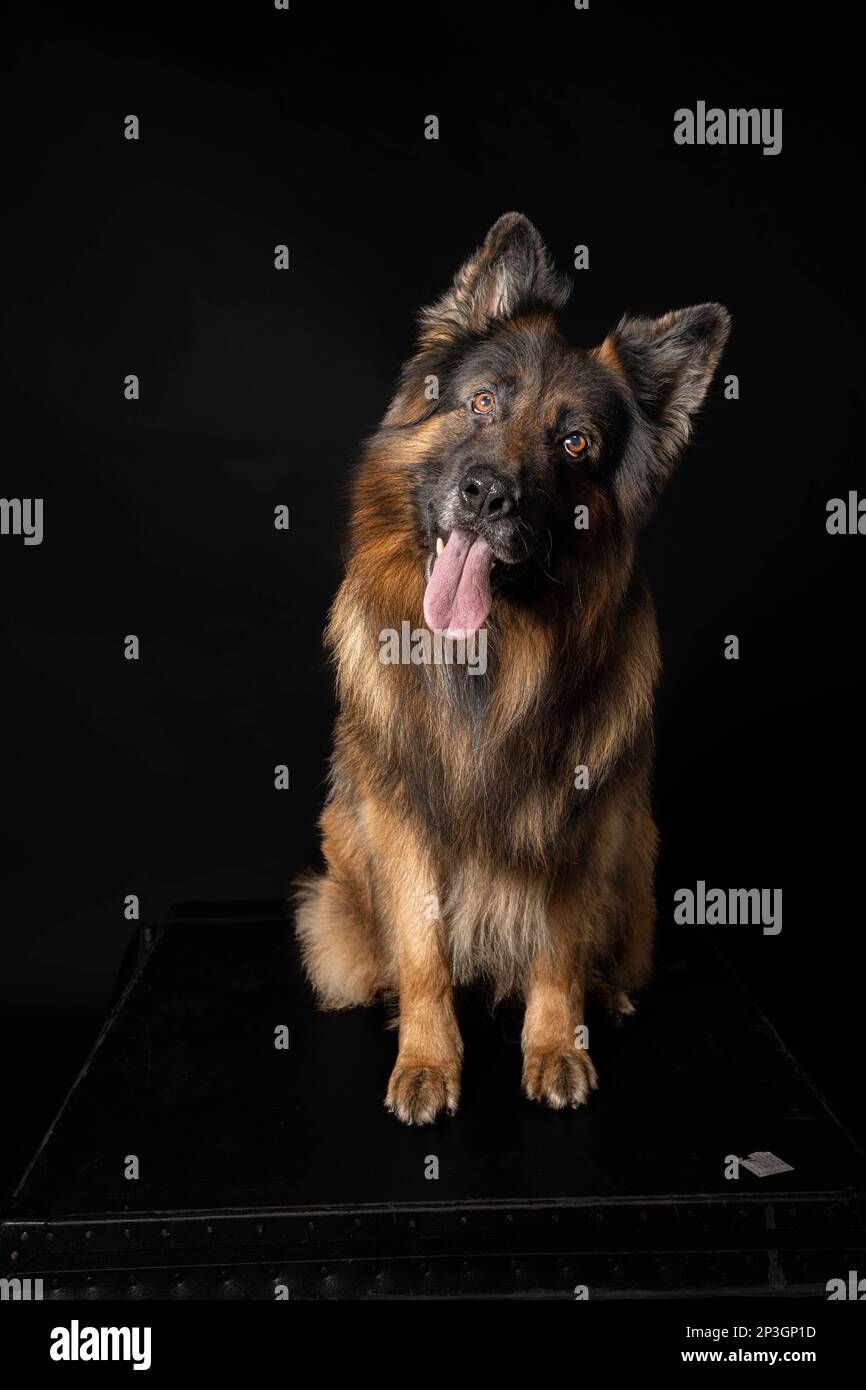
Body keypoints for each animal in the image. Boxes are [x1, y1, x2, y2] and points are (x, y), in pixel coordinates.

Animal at [297, 214, 733, 1117]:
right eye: (482, 402)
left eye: (575, 443)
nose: (486, 493)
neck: (493, 658)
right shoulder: (402, 818)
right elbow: (424, 947)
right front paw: (428, 1059)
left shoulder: (577, 819)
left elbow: (557, 949)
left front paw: (555, 1044)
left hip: (636, 842)